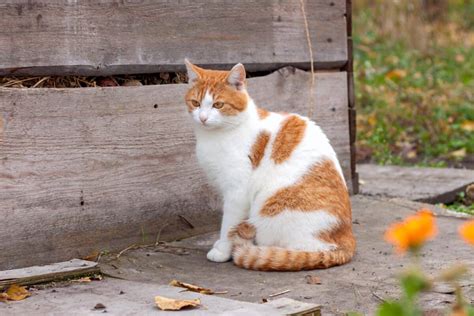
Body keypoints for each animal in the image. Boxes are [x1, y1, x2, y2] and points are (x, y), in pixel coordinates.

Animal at [183, 60, 354, 270]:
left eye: (218, 105)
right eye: (196, 103)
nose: (203, 118)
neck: (215, 136)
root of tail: (347, 242)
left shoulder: (237, 193)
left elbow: (228, 224)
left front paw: (222, 250)